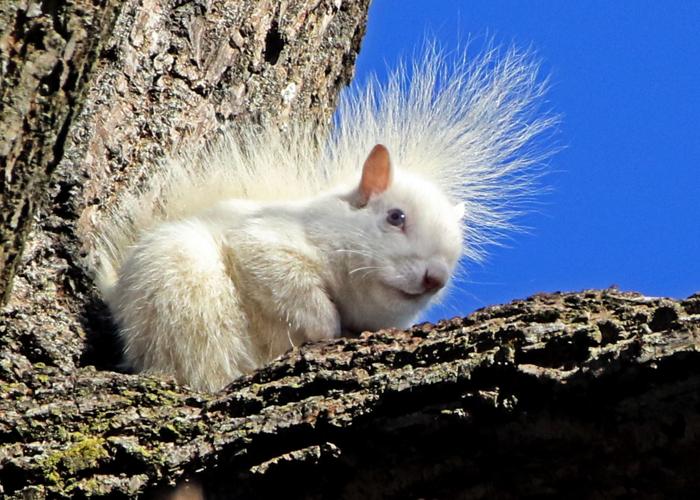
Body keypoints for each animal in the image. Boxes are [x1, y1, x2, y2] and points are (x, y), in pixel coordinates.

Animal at [90, 46, 555, 392]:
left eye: (457, 254)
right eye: (396, 217)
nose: (435, 279)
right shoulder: (267, 245)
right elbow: (295, 294)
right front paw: (327, 329)